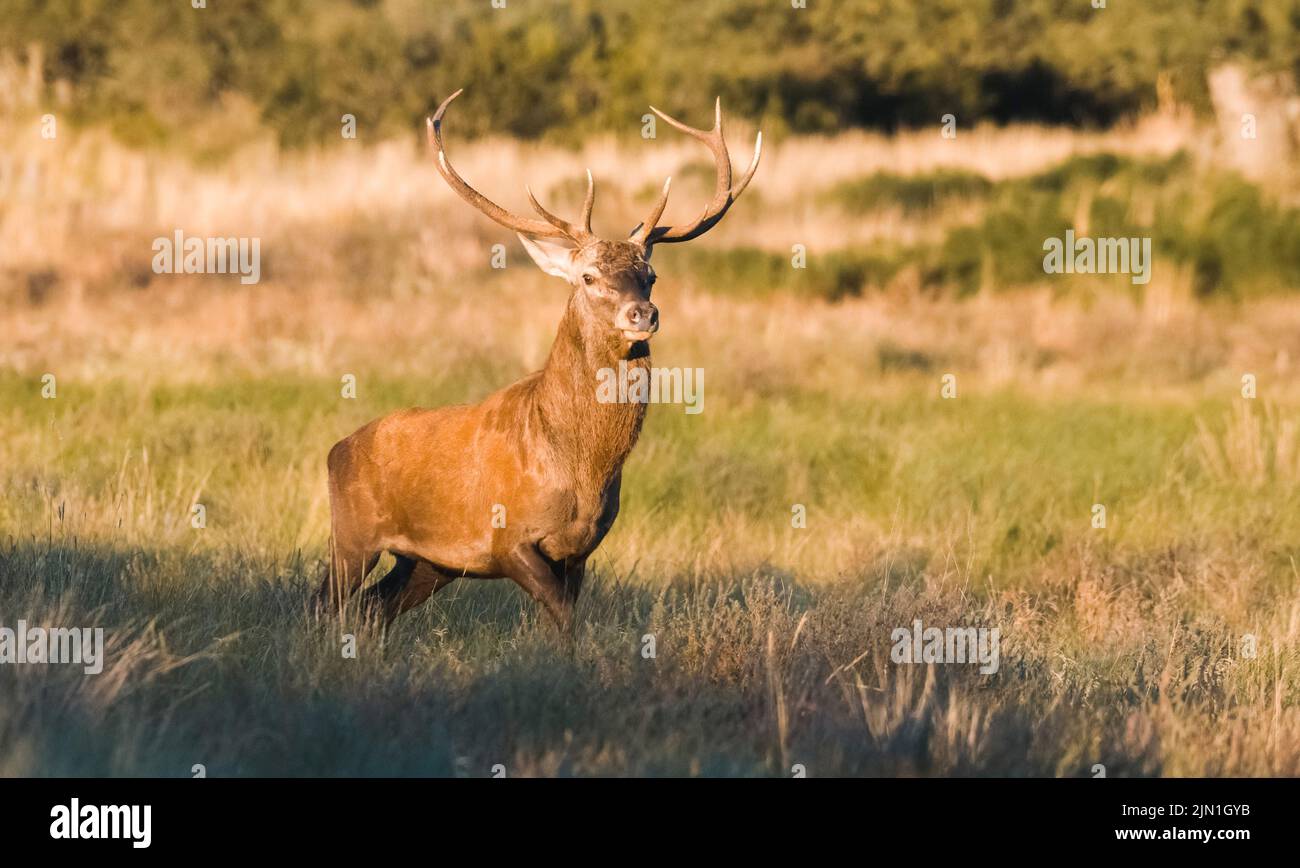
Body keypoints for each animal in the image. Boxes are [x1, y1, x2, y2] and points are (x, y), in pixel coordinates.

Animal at [312, 89, 760, 635]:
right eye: (588, 277)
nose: (644, 313)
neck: (580, 470)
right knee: (323, 600)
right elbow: (561, 613)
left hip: (427, 562)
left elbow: (563, 618)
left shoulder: (580, 551)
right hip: (352, 535)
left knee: (375, 607)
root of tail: (336, 450)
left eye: (650, 275)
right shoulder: (506, 538)